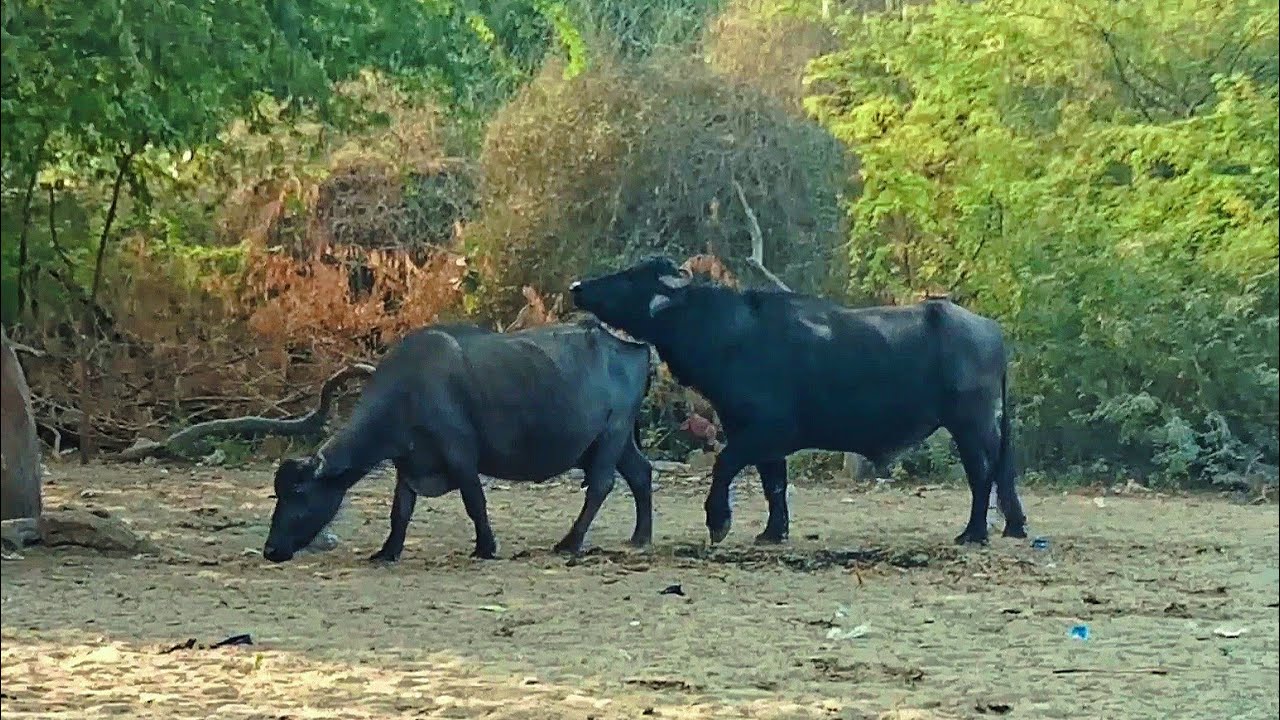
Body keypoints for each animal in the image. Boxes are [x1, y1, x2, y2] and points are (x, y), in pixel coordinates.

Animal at [262, 317, 655, 563]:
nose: (270, 550)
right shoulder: (408, 463)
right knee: (641, 473)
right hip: (616, 442)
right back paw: (640, 537)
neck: (406, 393)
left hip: (613, 432)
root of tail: (634, 348)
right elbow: (400, 512)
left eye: (298, 493)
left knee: (601, 484)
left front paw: (486, 546)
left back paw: (570, 542)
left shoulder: (461, 455)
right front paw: (387, 552)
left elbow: (474, 501)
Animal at [567, 256, 1028, 546]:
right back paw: (1014, 527)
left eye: (632, 278)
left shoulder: (765, 431)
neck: (730, 335)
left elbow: (725, 465)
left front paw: (719, 521)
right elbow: (774, 484)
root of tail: (992, 331)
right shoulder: (755, 436)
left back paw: (974, 533)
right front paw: (773, 532)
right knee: (1002, 472)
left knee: (982, 476)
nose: (578, 287)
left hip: (970, 424)